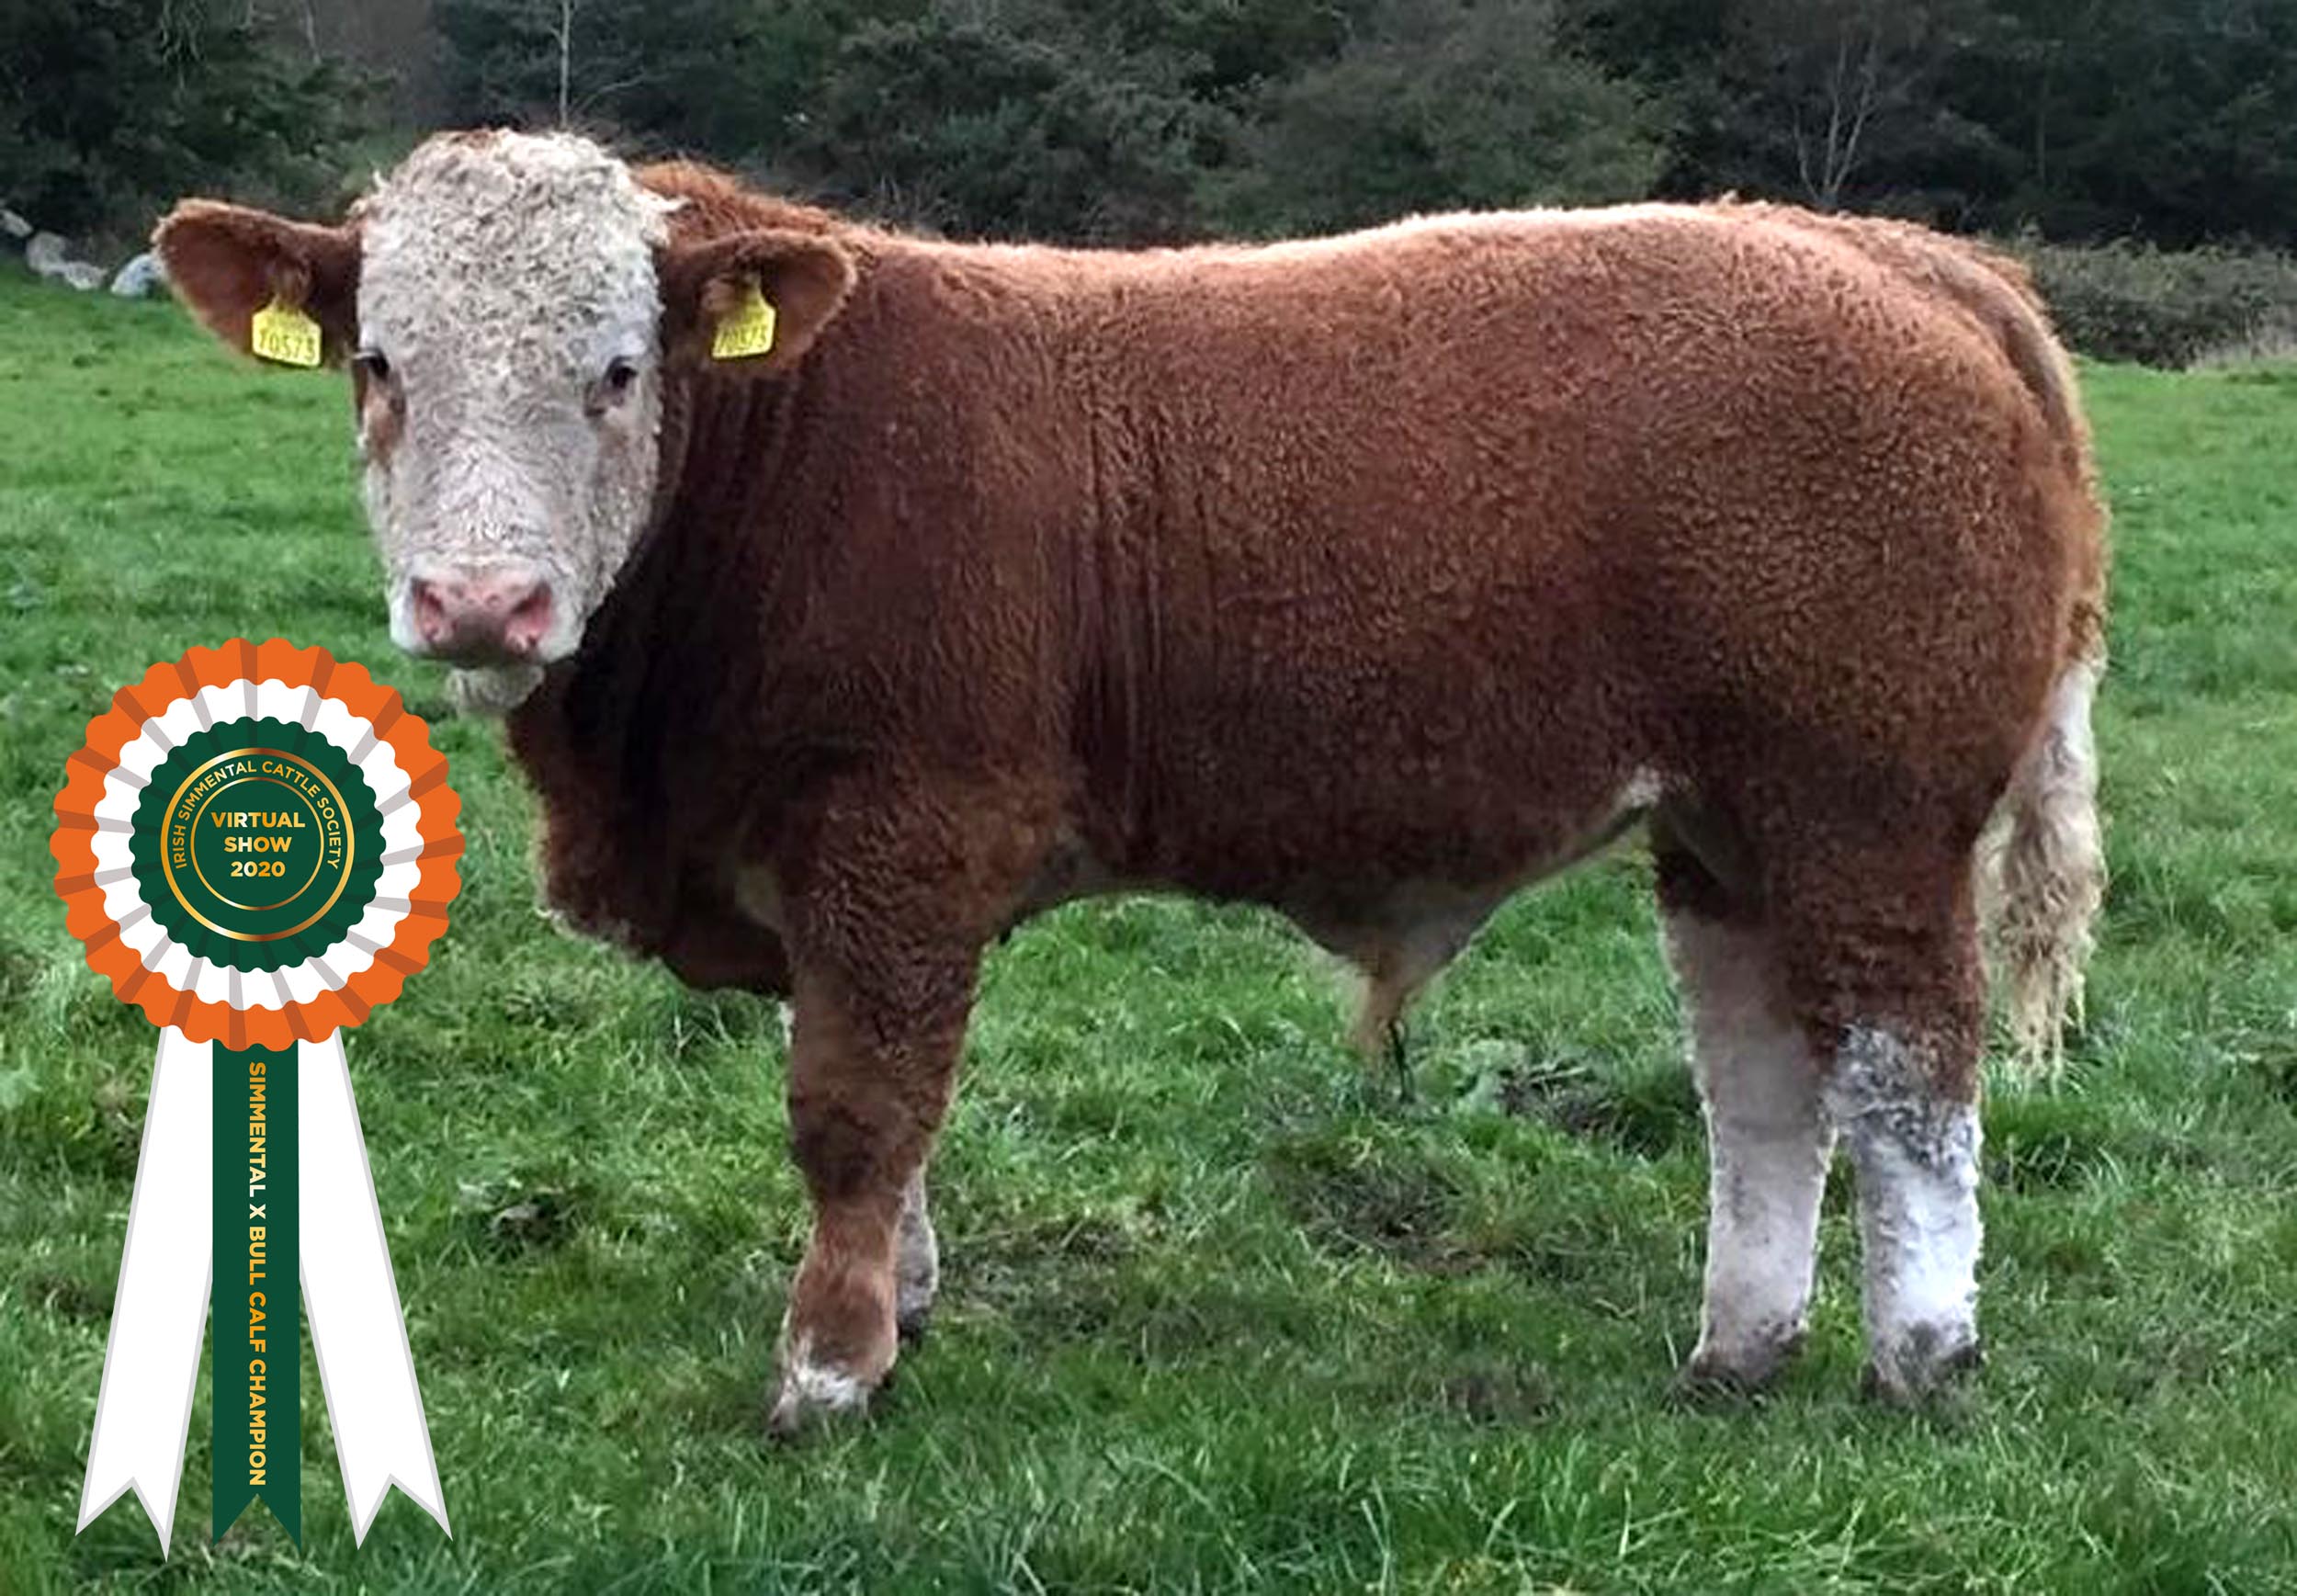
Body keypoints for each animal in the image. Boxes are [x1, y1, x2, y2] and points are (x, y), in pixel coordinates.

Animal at [155, 129, 2107, 1435]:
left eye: (618, 369)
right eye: (380, 363)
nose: (481, 603)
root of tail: (1887, 251)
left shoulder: (903, 833)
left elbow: (855, 1103)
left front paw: (828, 1366)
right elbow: (879, 1106)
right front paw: (904, 1302)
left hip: (1863, 809)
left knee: (1907, 1072)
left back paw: (1918, 1354)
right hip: (1722, 820)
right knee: (1764, 1080)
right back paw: (1740, 1345)